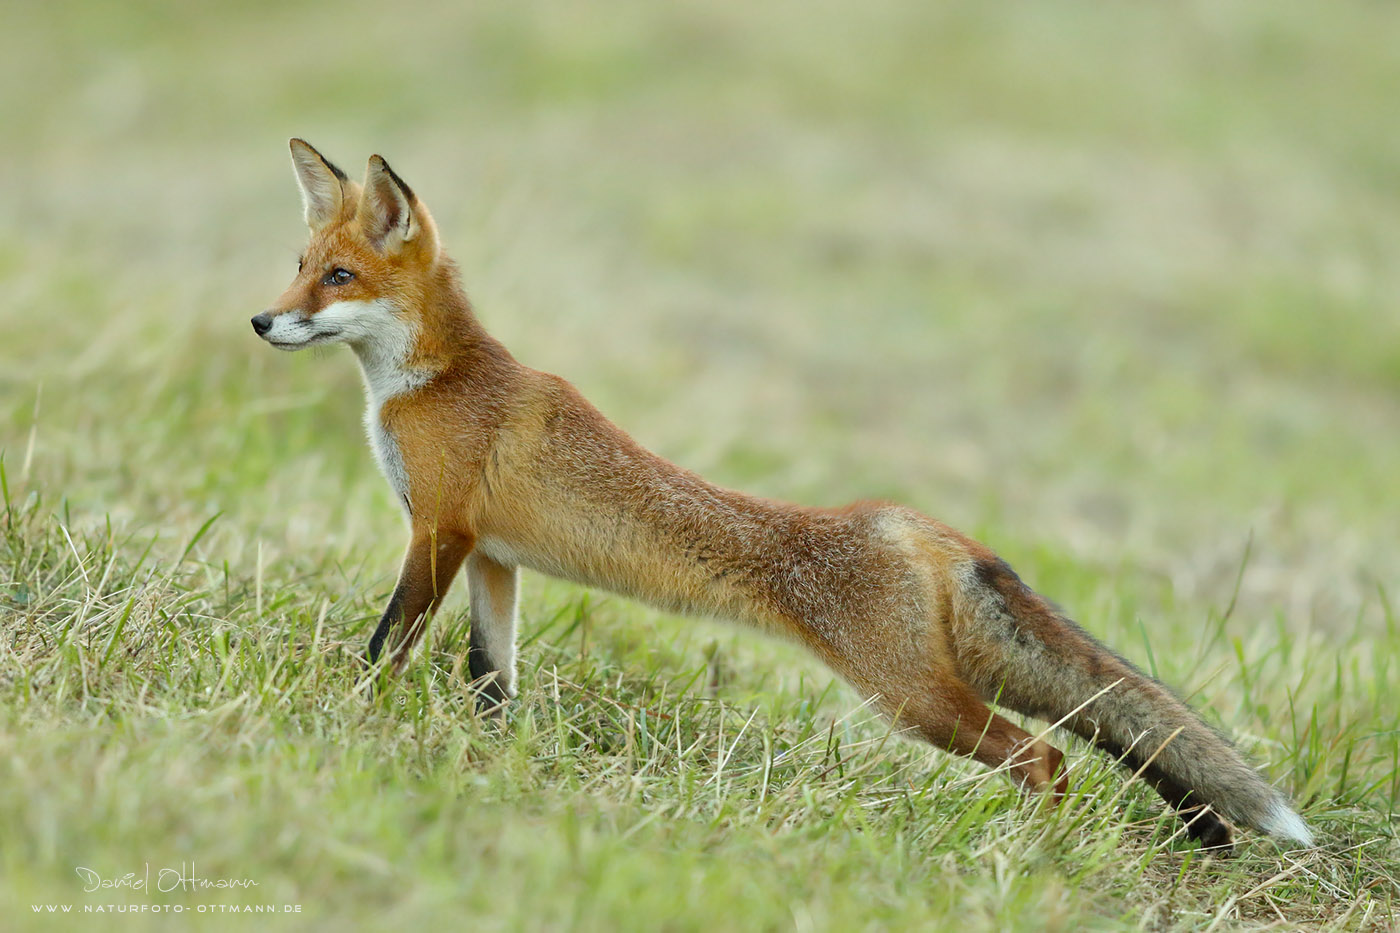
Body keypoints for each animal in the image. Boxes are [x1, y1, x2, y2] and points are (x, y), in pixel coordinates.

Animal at [253, 138, 1313, 853]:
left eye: (339, 277)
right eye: (299, 268)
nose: (262, 320)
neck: (430, 379)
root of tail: (911, 524)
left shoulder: (438, 530)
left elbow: (385, 644)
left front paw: (345, 714)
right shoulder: (491, 555)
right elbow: (491, 680)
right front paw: (487, 760)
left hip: (912, 699)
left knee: (1044, 757)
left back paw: (1034, 855)